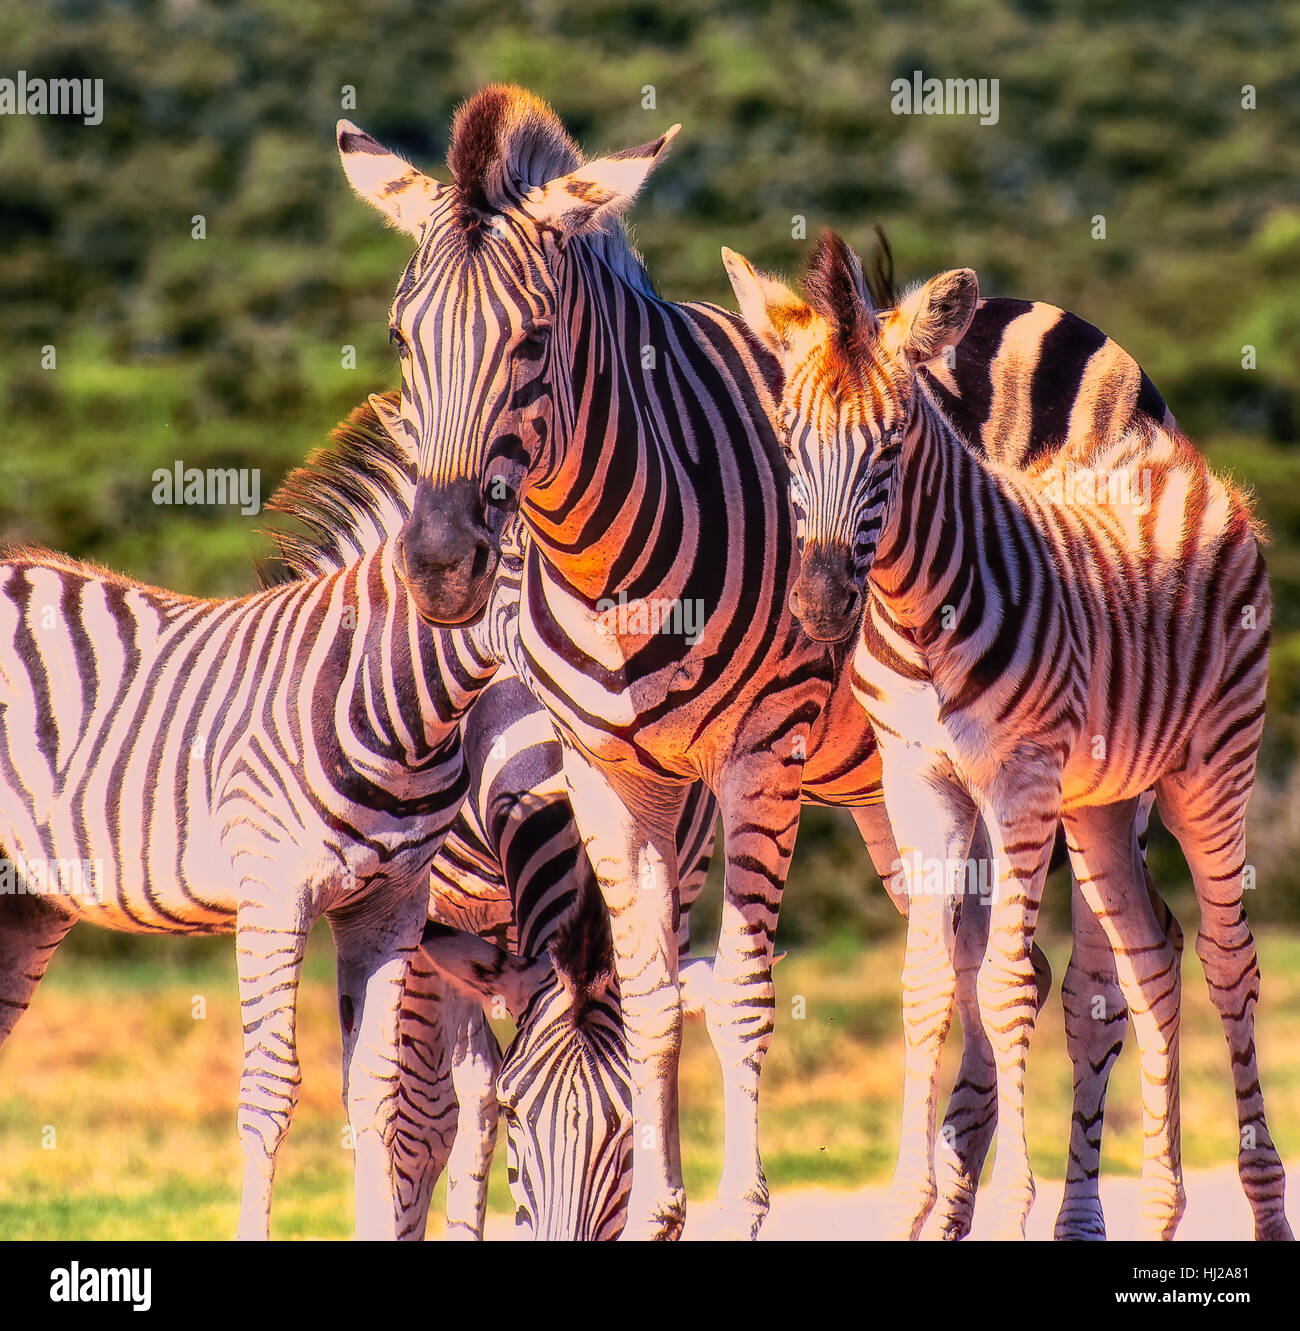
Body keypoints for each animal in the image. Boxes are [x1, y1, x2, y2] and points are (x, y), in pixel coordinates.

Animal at [724, 228, 1293, 1242]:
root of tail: (1168, 458)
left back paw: (1264, 1206)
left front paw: (1015, 1203)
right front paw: (909, 1198)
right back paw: (1159, 1210)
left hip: (1211, 775)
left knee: (1231, 962)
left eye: (893, 445)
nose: (822, 605)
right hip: (1101, 800)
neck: (919, 618)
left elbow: (1003, 985)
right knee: (1149, 961)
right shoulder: (919, 782)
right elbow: (926, 986)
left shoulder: (1019, 785)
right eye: (788, 442)